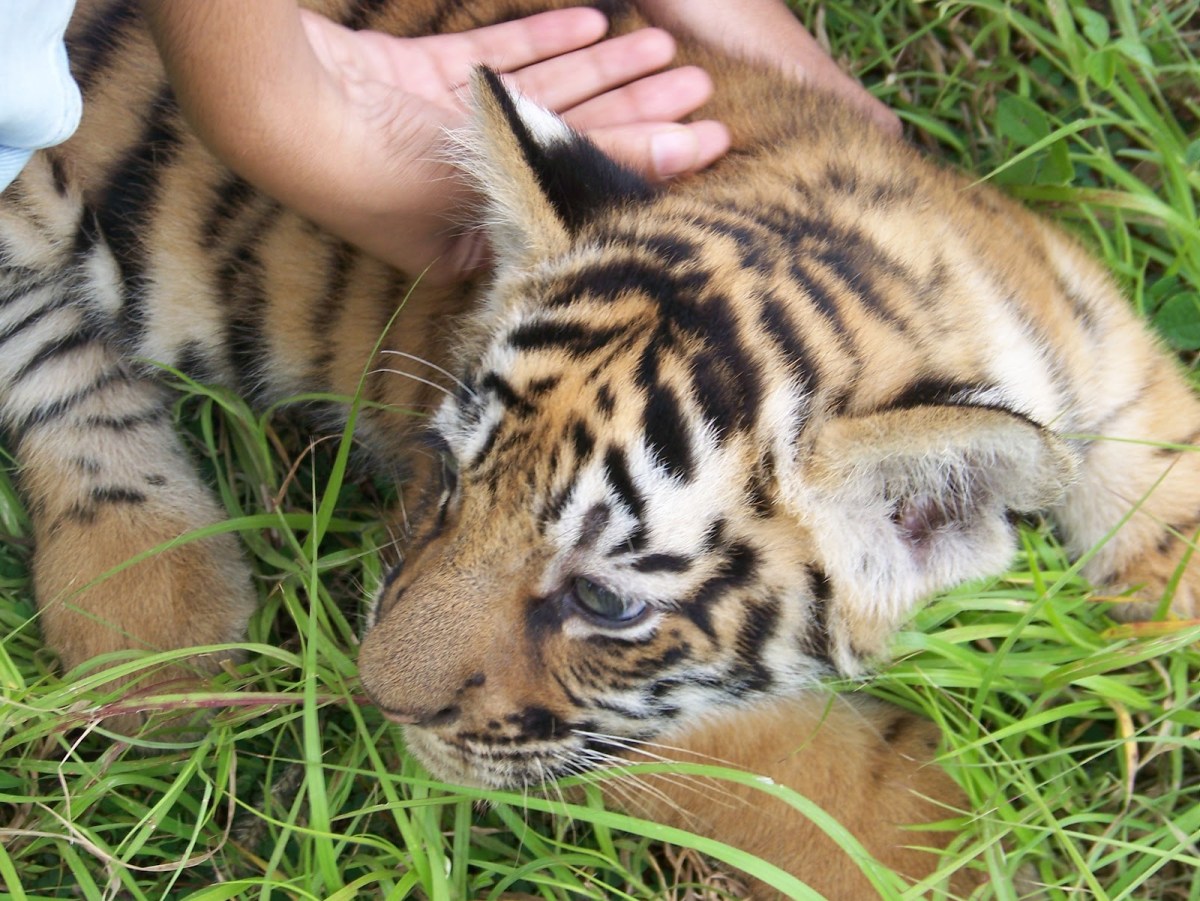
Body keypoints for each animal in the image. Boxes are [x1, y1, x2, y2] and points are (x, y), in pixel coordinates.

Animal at [2, 0, 1198, 896]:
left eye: (606, 601)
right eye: (449, 480)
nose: (375, 700)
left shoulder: (1112, 370)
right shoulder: (625, 726)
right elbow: (799, 780)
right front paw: (981, 853)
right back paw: (151, 613)